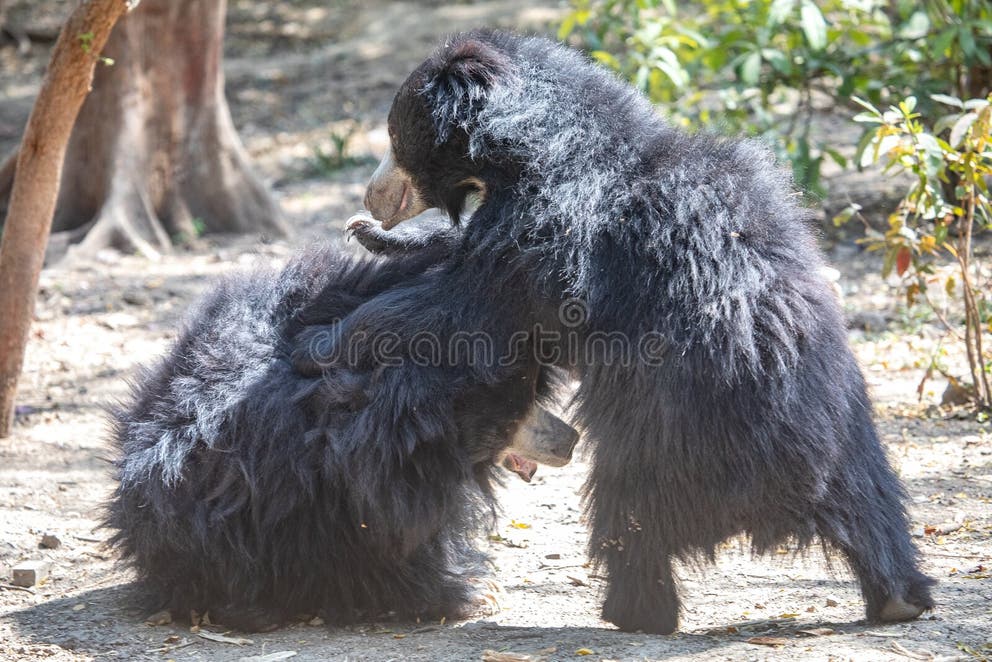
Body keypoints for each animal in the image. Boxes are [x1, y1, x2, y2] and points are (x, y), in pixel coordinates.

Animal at [293, 31, 936, 635]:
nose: (370, 197)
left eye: (394, 135)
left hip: (665, 443)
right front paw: (370, 241)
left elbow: (476, 302)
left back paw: (633, 610)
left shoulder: (547, 227)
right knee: (875, 512)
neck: (542, 139)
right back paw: (900, 598)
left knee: (629, 521)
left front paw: (356, 294)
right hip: (853, 441)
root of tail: (791, 486)